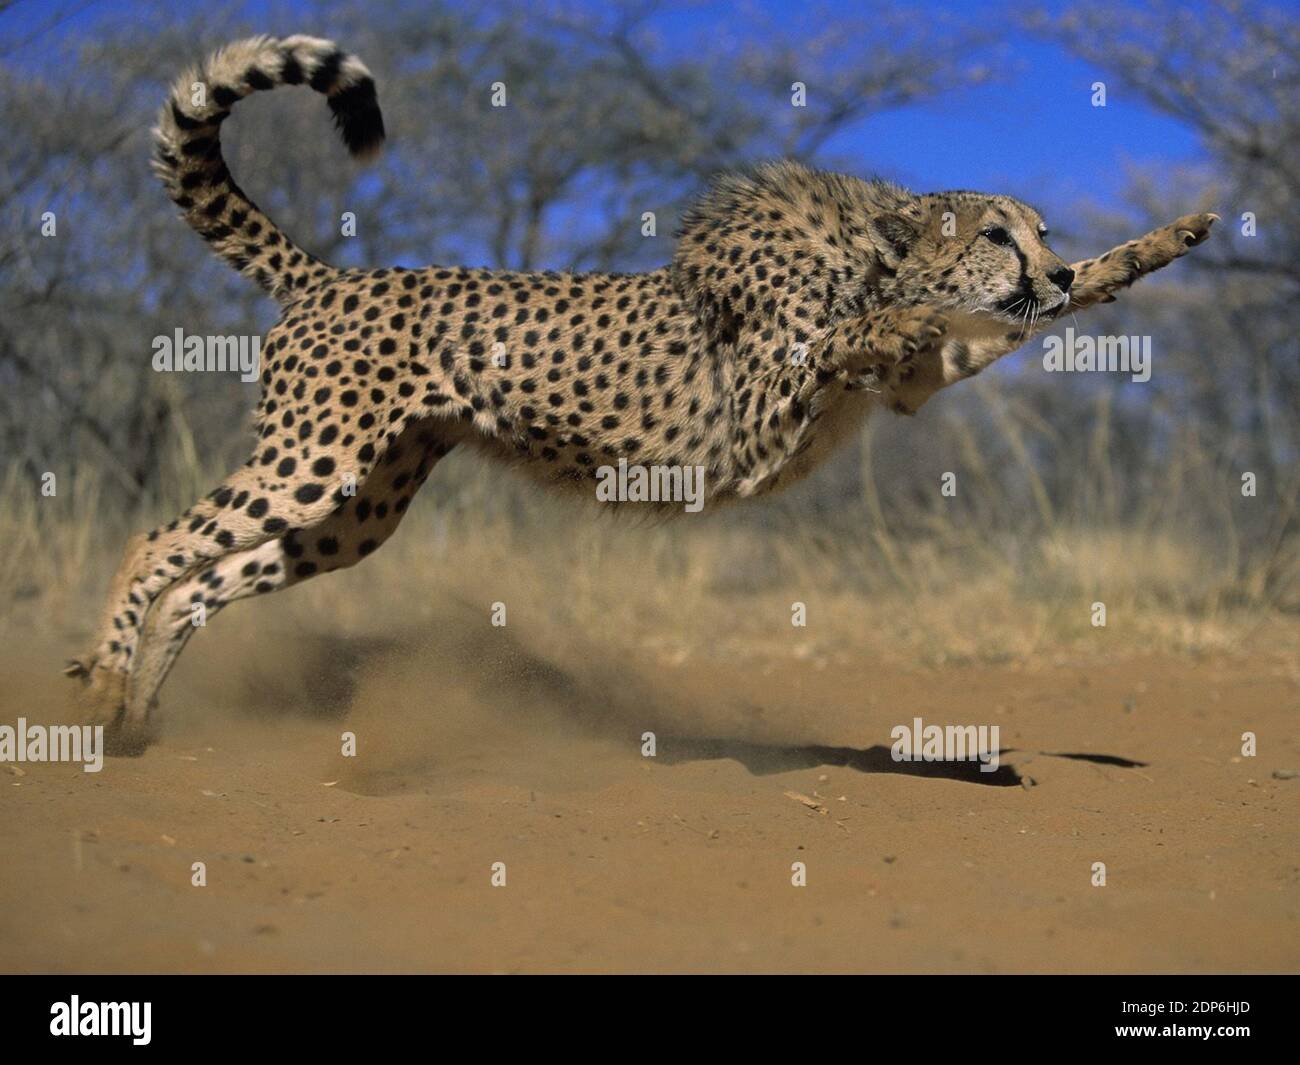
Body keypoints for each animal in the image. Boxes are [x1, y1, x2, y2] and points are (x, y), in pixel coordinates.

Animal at [64, 34, 1218, 750]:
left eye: (1043, 233)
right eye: (995, 234)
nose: (1047, 270)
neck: (869, 258)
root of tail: (329, 273)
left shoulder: (916, 384)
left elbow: (1001, 324)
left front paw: (1161, 243)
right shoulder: (759, 408)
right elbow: (869, 334)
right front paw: (916, 314)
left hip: (359, 506)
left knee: (208, 578)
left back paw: (143, 719)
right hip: (314, 461)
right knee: (157, 542)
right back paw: (108, 685)